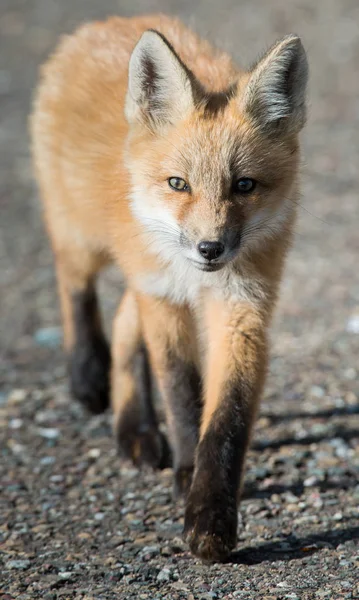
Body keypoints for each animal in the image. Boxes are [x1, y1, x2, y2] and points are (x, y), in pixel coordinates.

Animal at [30, 15, 310, 564]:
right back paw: (88, 377)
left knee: (122, 323)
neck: (198, 280)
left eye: (244, 185)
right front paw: (186, 474)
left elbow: (226, 417)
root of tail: (101, 24)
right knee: (76, 290)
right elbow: (181, 391)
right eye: (178, 184)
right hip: (83, 239)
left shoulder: (242, 307)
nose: (210, 249)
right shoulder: (162, 294)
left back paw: (134, 427)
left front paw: (211, 517)